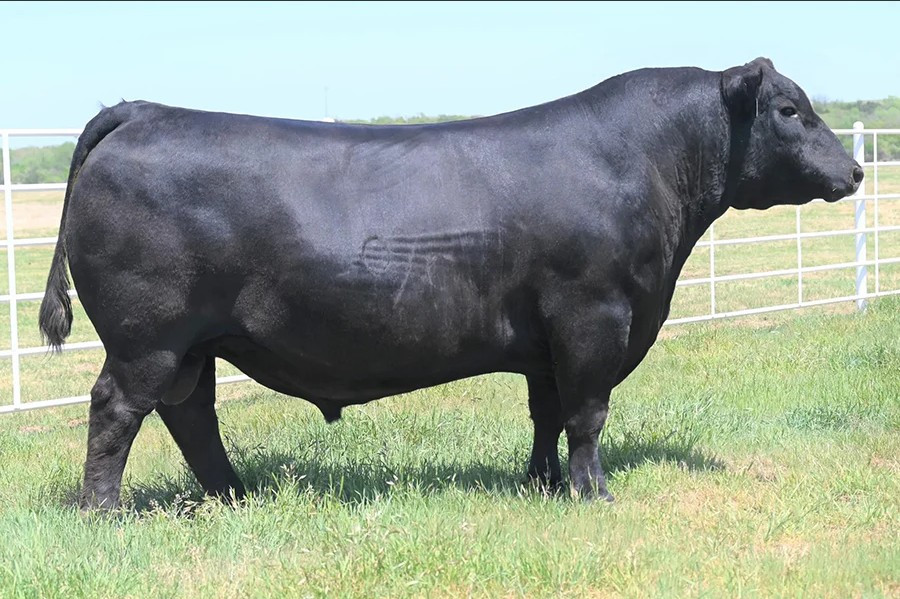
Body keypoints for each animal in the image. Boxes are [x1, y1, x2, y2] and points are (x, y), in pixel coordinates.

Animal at [39, 58, 862, 510]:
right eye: (789, 110)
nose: (854, 170)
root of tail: (141, 111)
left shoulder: (546, 338)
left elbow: (545, 413)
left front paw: (541, 485)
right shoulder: (593, 315)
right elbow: (587, 414)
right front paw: (592, 493)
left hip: (193, 343)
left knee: (190, 414)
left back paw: (236, 496)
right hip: (148, 335)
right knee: (118, 409)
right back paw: (103, 512)